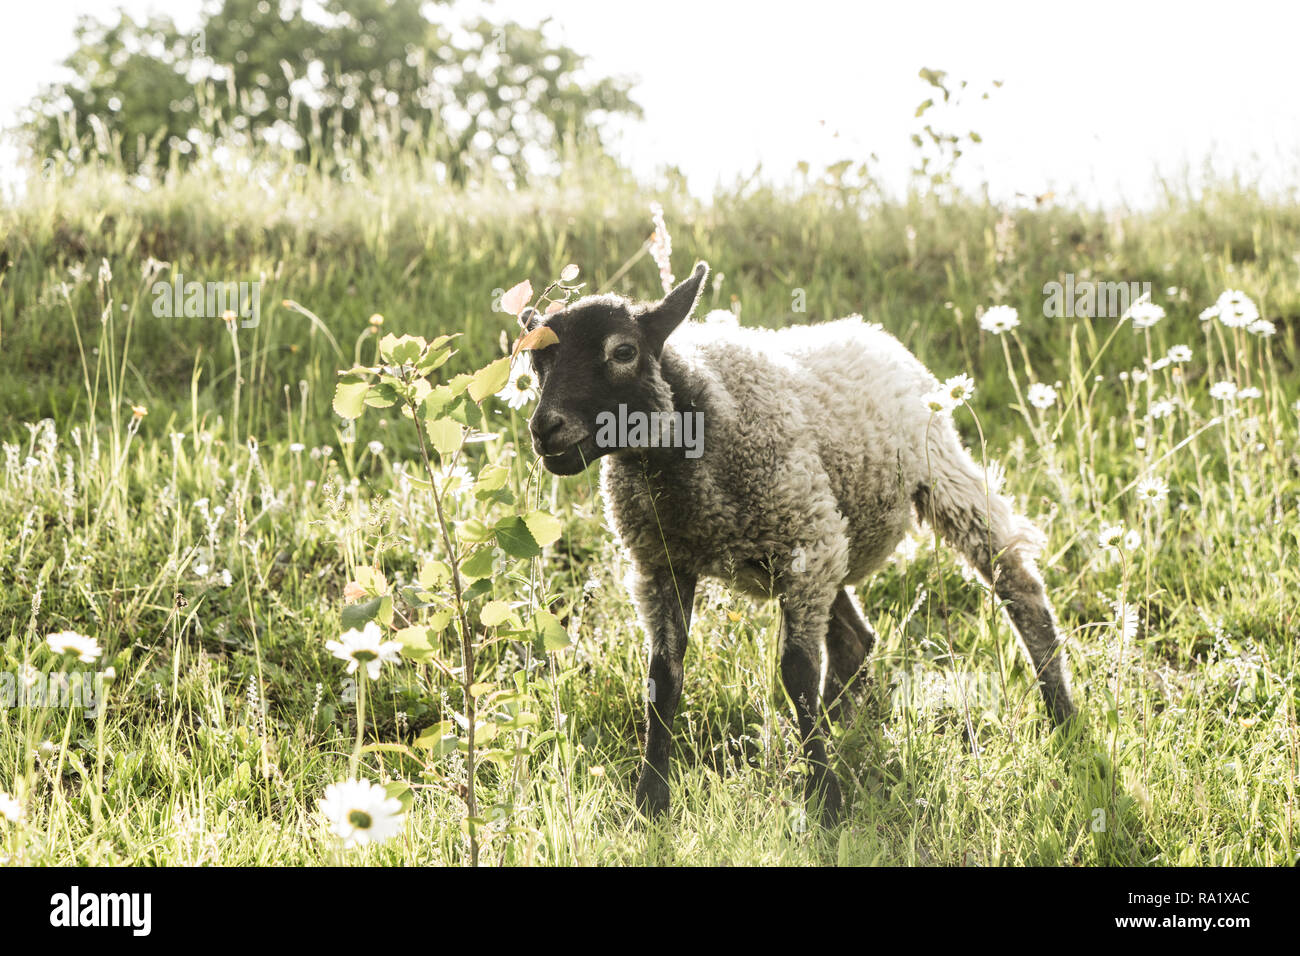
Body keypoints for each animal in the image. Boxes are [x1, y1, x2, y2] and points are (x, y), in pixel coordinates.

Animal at [522, 261, 1076, 826]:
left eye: (623, 351)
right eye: (536, 360)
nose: (544, 429)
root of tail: (868, 330)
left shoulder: (801, 549)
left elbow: (795, 671)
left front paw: (825, 799)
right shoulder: (661, 563)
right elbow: (664, 677)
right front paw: (651, 801)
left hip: (925, 482)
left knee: (1017, 582)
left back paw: (1062, 713)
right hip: (829, 536)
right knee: (855, 638)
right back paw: (829, 728)